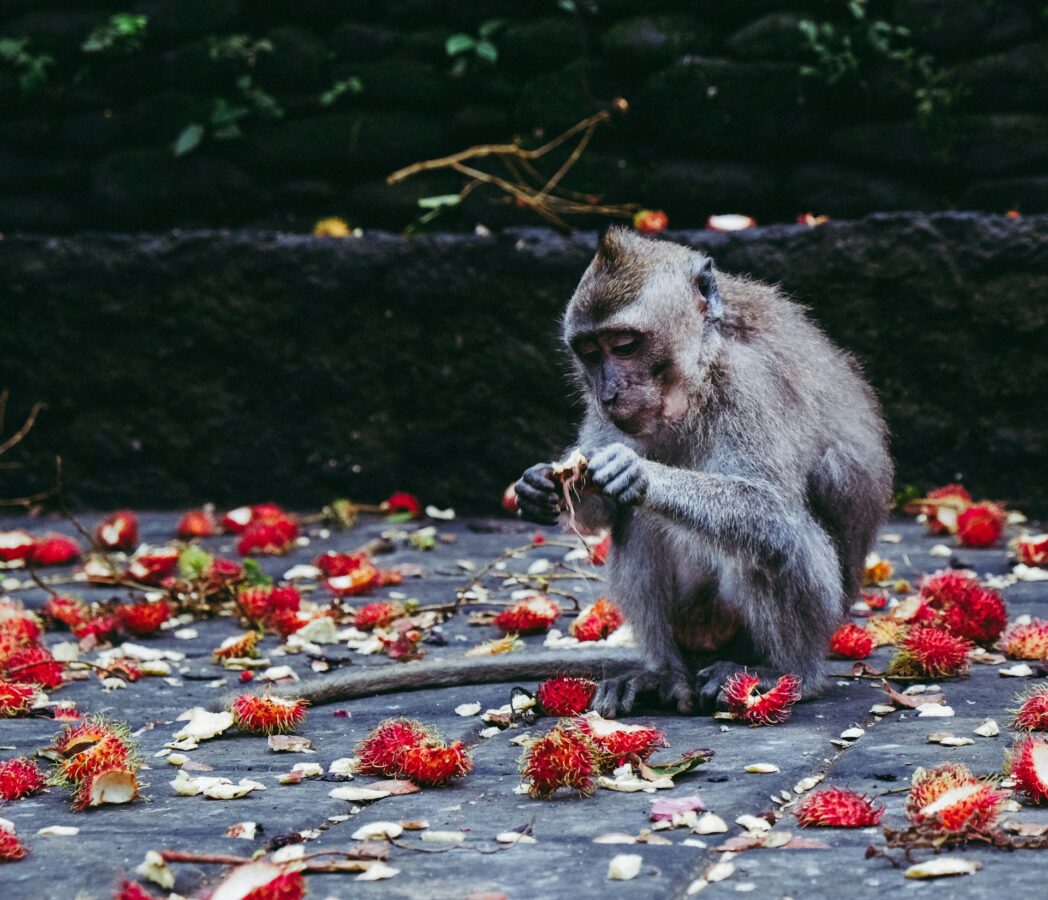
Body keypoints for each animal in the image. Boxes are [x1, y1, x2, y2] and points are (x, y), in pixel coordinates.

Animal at [515, 227, 892, 717]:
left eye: (625, 346)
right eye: (590, 353)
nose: (609, 392)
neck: (696, 376)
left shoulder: (748, 382)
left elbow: (773, 511)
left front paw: (643, 475)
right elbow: (602, 507)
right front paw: (538, 486)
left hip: (809, 616)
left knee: (774, 545)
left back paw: (787, 673)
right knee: (636, 522)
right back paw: (664, 673)